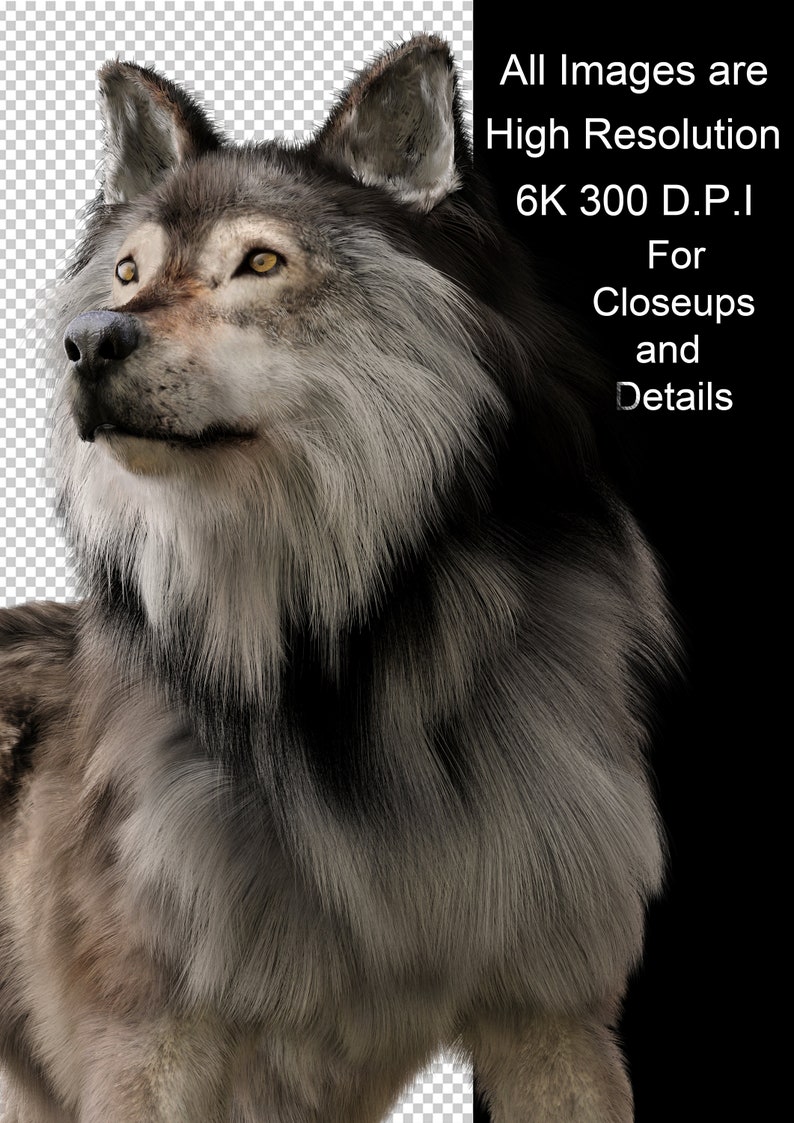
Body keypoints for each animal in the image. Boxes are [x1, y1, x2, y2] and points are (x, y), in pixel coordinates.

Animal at [0, 36, 672, 1123]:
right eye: (129, 271)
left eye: (261, 262)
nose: (90, 338)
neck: (338, 673)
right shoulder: (147, 1044)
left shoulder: (553, 1013)